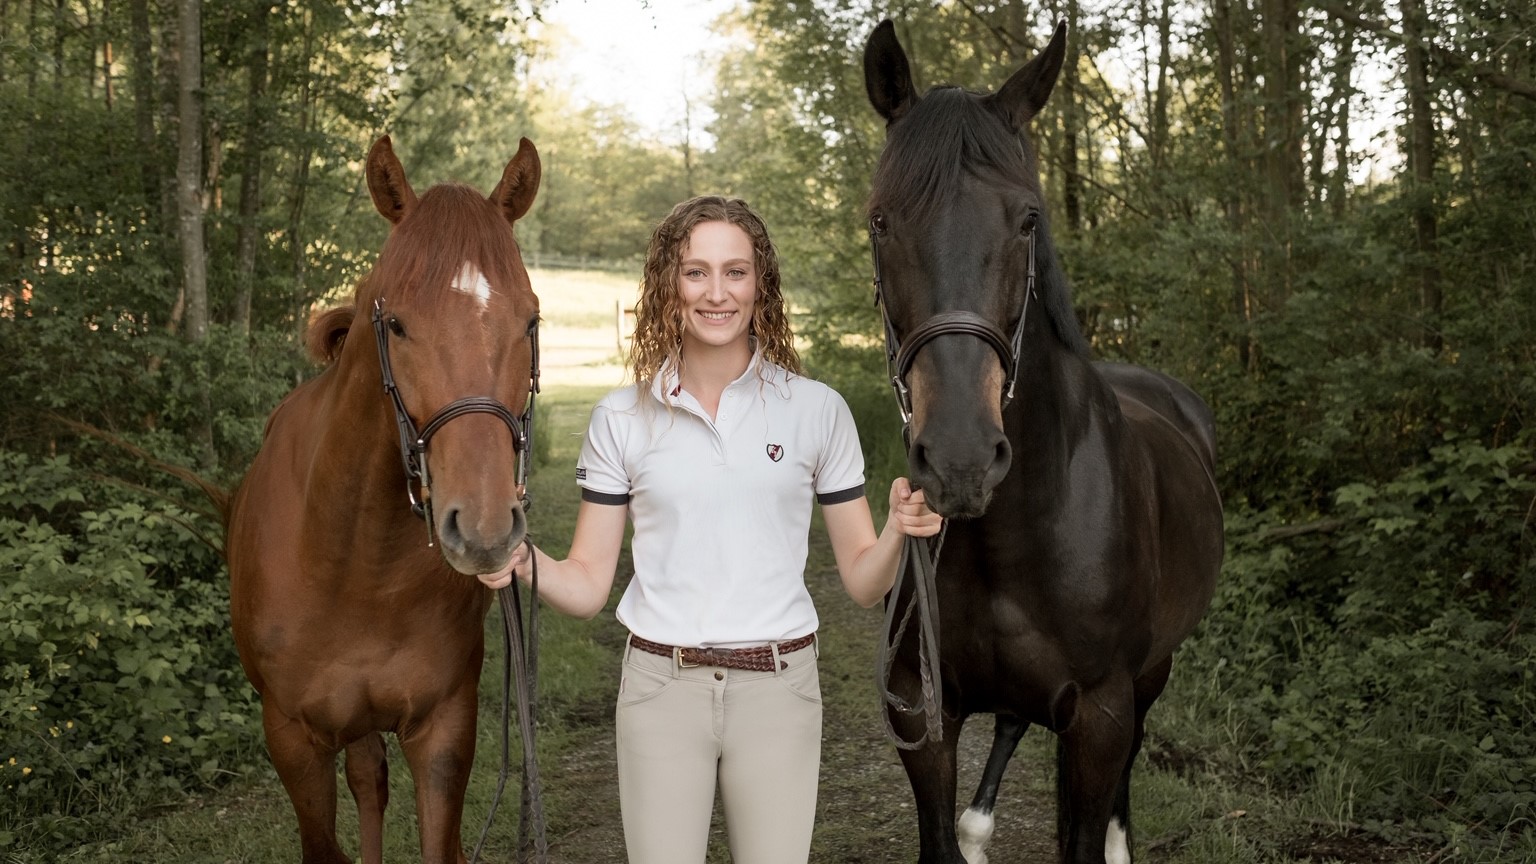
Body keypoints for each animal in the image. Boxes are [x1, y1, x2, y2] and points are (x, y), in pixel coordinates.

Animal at [224, 135, 542, 864]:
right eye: (395, 324)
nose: (484, 527)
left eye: (531, 319)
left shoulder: (445, 728)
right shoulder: (292, 742)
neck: (354, 565)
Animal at [862, 20, 1224, 864]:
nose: (959, 459)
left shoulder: (1101, 714)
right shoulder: (922, 714)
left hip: (1153, 672)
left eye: (1028, 220)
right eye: (880, 219)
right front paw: (967, 834)